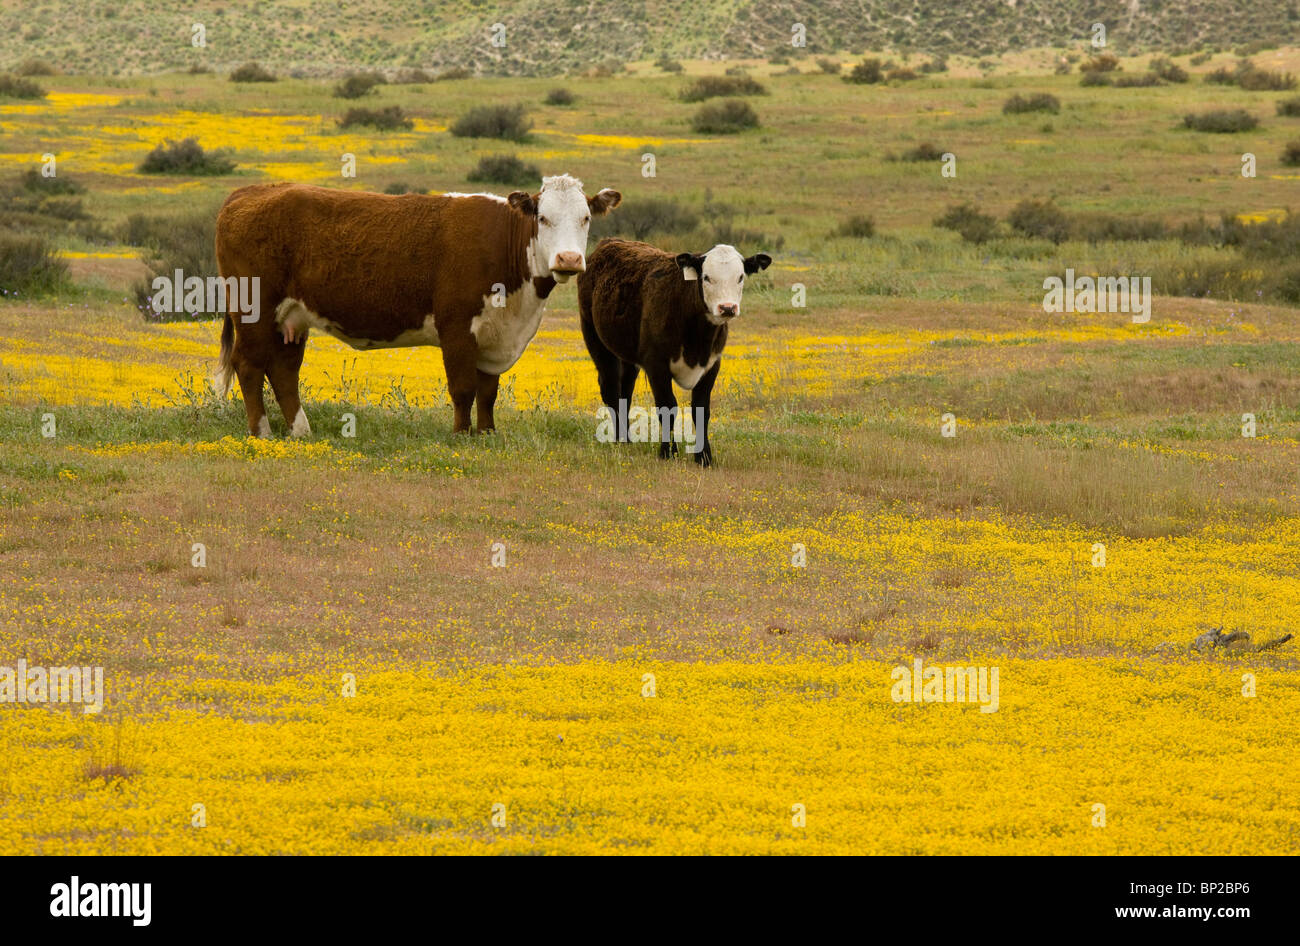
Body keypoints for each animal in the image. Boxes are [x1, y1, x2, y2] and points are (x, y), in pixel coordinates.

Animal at [213, 174, 621, 437]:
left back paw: (301, 431)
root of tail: (248, 192)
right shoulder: (456, 326)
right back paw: (262, 431)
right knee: (249, 366)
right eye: (543, 217)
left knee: (284, 371)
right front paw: (462, 435)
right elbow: (463, 388)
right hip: (253, 310)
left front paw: (488, 433)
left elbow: (488, 390)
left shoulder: (495, 334)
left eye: (586, 218)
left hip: (292, 320)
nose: (569, 259)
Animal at [577, 239, 771, 467]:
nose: (727, 308)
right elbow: (667, 407)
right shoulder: (656, 366)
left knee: (625, 390)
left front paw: (703, 456)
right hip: (595, 339)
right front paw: (668, 451)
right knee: (610, 388)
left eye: (740, 277)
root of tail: (608, 243)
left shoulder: (712, 365)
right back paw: (619, 441)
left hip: (628, 356)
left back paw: (627, 439)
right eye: (706, 277)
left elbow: (701, 409)